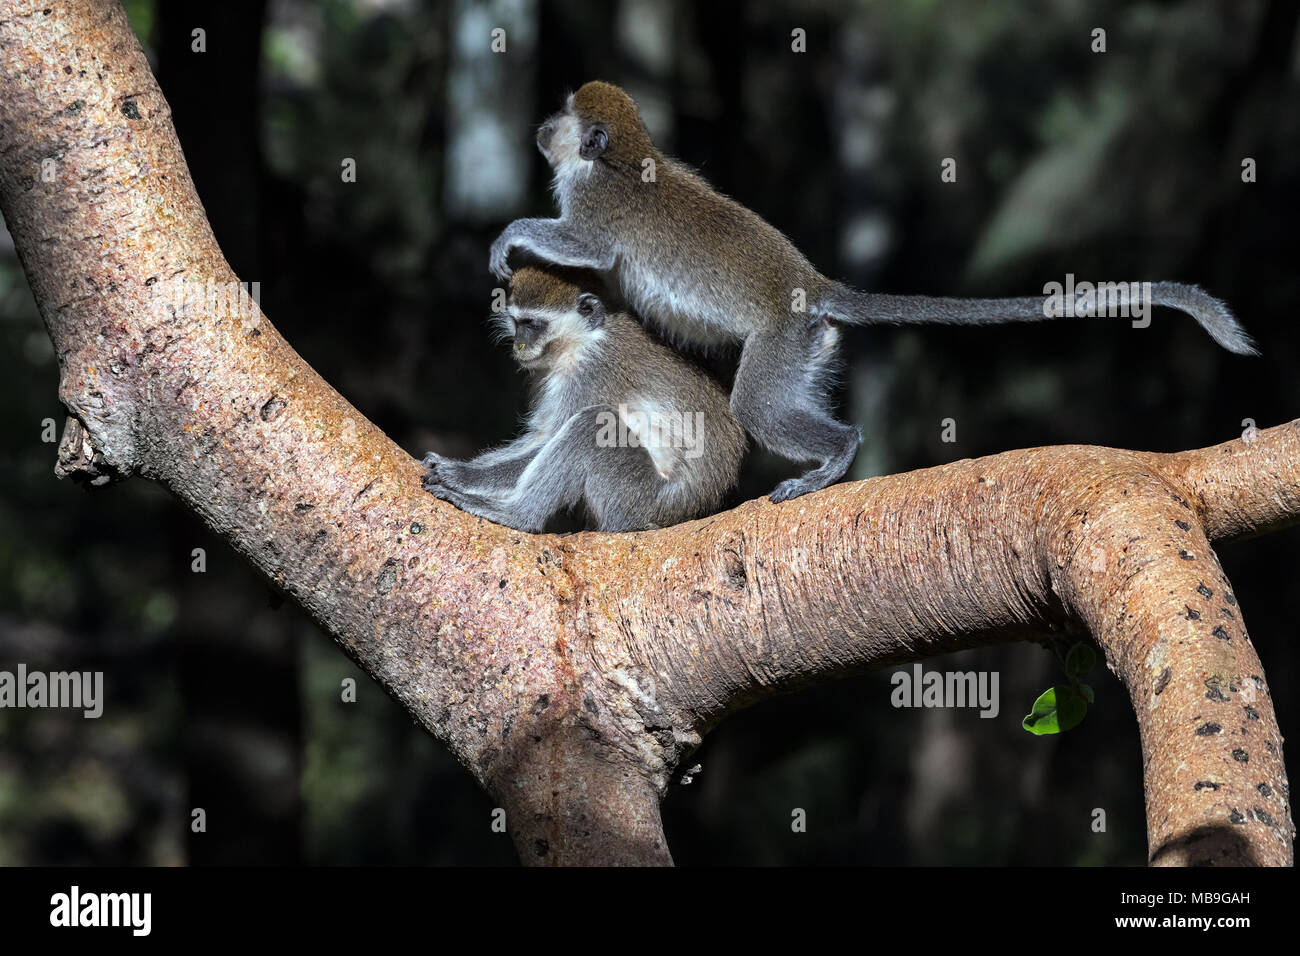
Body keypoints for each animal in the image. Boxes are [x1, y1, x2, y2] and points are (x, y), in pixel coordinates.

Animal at [422, 265, 747, 533]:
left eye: (534, 324)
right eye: (517, 323)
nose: (519, 346)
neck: (581, 340)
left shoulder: (592, 369)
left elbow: (550, 437)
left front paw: (460, 475)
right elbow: (539, 436)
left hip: (634, 500)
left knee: (591, 427)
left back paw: (518, 515)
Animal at [489, 81, 1257, 503]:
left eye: (561, 117)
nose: (542, 127)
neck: (620, 159)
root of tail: (812, 285)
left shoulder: (591, 208)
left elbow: (587, 250)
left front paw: (513, 236)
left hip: (782, 340)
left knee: (758, 405)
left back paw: (840, 452)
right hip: (808, 347)